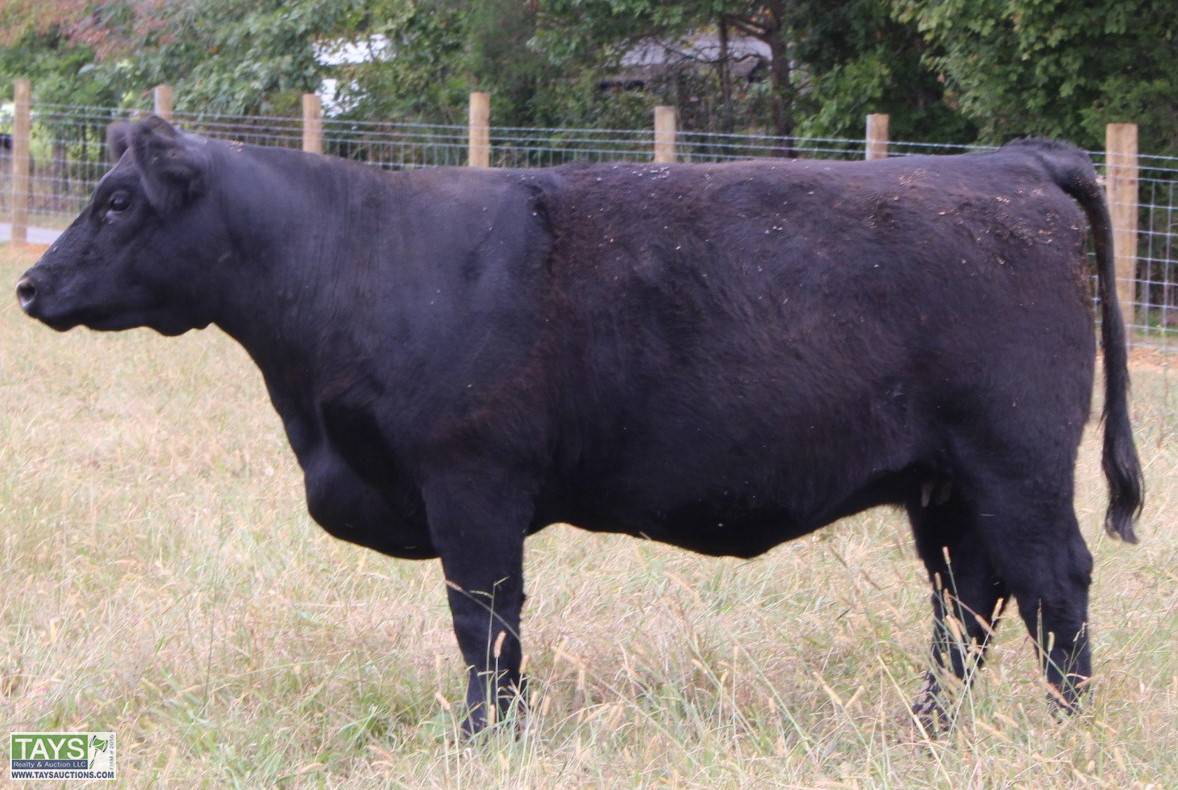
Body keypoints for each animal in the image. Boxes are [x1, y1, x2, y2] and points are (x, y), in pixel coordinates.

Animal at [16, 115, 1143, 735]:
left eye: (117, 203)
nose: (28, 285)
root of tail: (1010, 163)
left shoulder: (471, 483)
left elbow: (484, 621)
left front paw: (486, 739)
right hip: (944, 483)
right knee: (967, 598)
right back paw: (926, 731)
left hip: (1016, 461)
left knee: (1052, 586)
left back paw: (1061, 733)